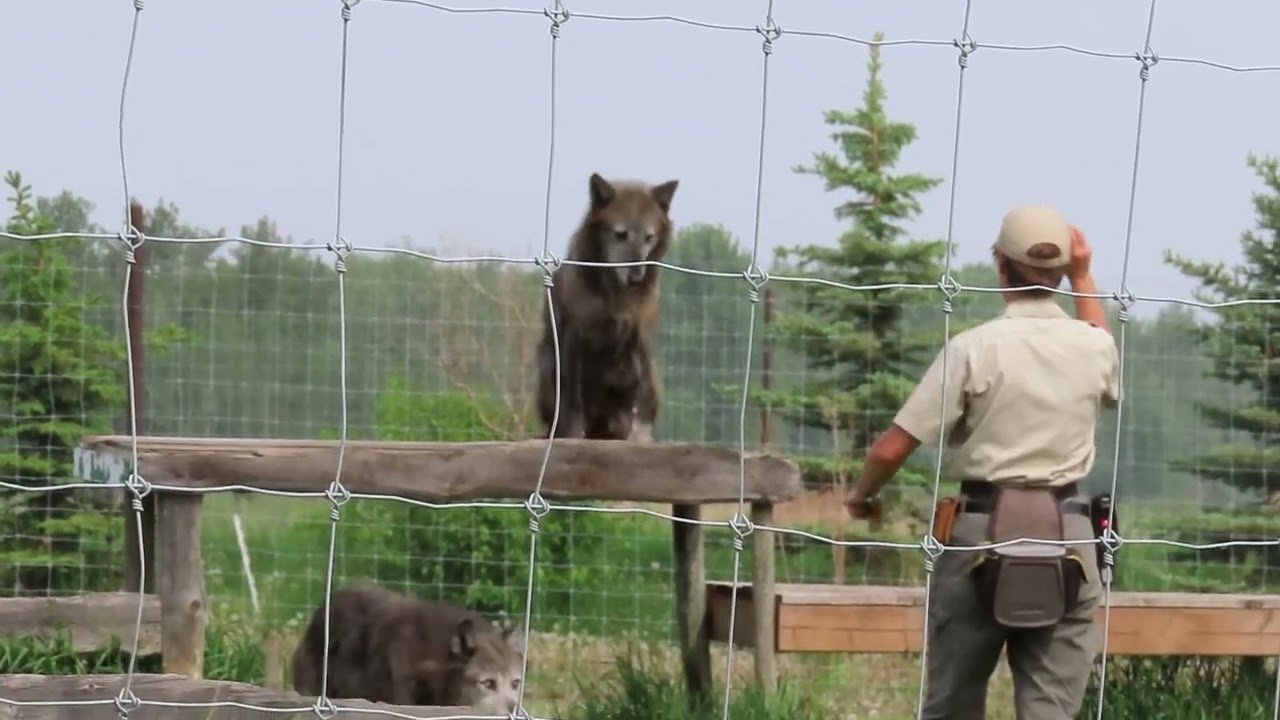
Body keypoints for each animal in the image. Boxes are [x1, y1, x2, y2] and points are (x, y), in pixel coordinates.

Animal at [535, 172, 679, 442]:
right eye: (620, 234)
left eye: (649, 238)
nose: (636, 276)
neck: (616, 295)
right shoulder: (574, 337)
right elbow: (572, 401)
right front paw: (572, 436)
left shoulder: (639, 338)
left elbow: (641, 402)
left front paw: (640, 438)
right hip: (547, 365)